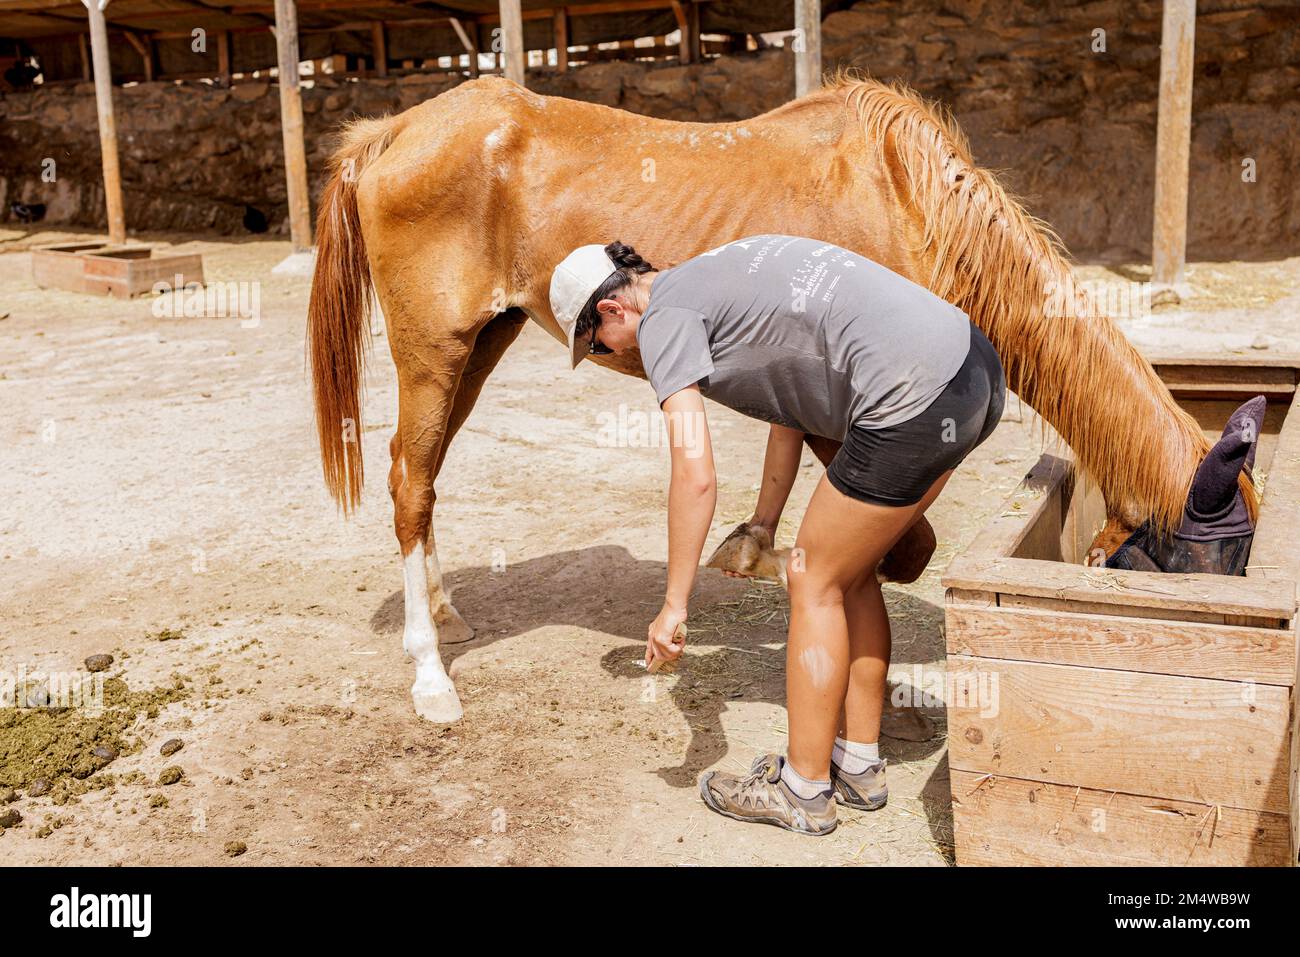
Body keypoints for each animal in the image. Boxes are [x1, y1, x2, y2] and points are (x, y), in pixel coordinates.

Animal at [307, 75, 1257, 722]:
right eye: (1215, 559)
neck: (906, 198)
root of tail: (394, 130)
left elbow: (799, 469)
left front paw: (755, 547)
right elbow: (900, 536)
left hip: (481, 346)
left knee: (419, 476)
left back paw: (445, 613)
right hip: (434, 351)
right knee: (410, 483)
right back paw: (432, 677)